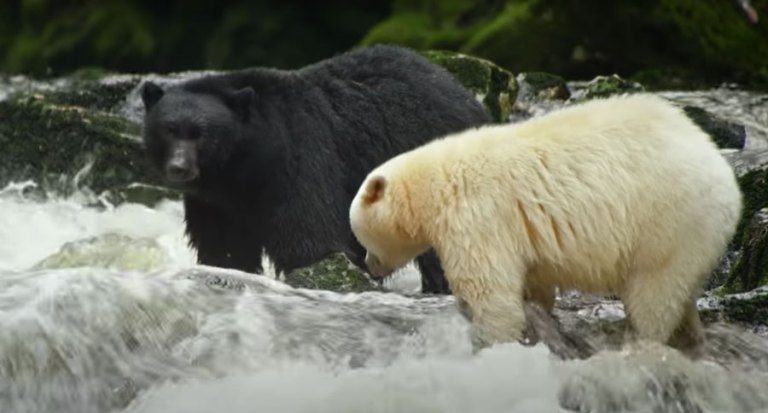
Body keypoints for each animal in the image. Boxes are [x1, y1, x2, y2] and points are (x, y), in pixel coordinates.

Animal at [140, 44, 492, 294]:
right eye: (169, 129)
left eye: (201, 133)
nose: (179, 167)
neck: (245, 167)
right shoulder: (215, 203)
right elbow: (224, 248)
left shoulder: (300, 159)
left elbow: (310, 237)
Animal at [349, 93, 743, 349]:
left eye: (362, 236)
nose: (370, 267)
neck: (437, 182)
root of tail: (725, 174)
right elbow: (533, 281)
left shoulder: (477, 215)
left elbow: (489, 291)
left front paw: (496, 341)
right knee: (683, 292)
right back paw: (691, 337)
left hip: (670, 220)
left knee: (655, 292)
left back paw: (641, 342)